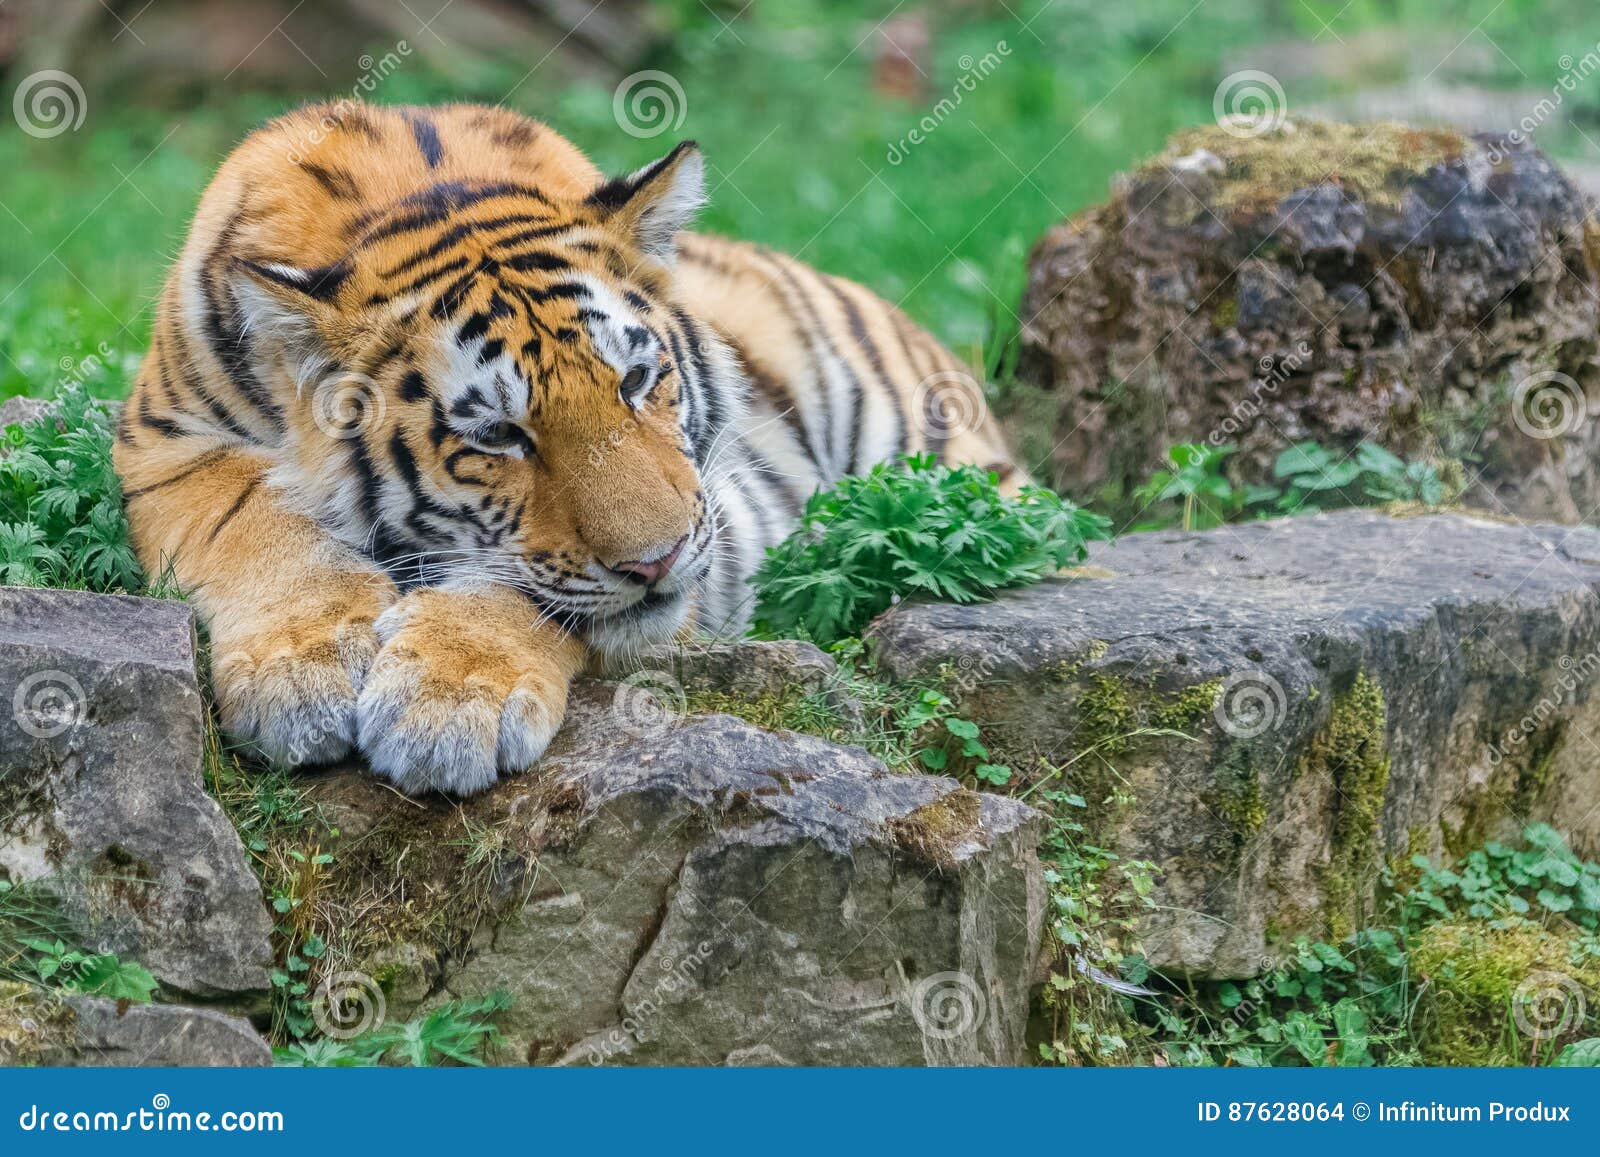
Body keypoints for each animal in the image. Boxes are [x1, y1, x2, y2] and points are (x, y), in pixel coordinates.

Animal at [114, 101, 1021, 796]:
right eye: (498, 434)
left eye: (637, 380)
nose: (657, 562)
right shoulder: (162, 442)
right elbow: (253, 519)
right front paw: (301, 672)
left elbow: (523, 589)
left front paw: (447, 700)